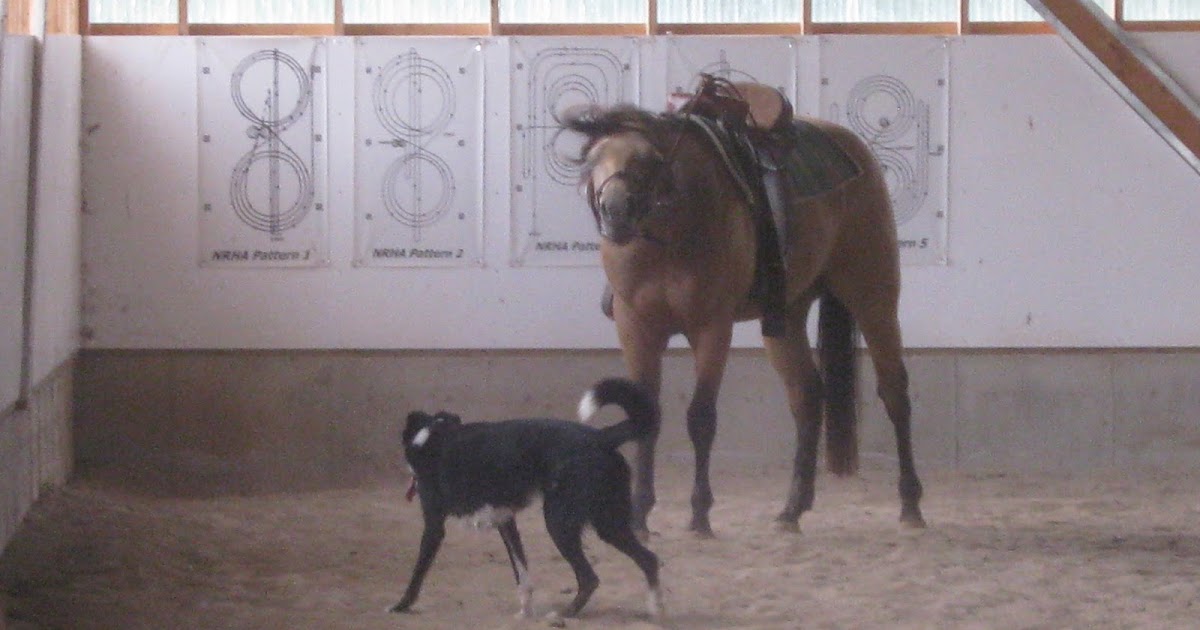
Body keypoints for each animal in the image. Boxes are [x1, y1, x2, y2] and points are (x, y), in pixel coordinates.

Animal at [562, 94, 925, 538]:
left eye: (650, 159)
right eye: (592, 158)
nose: (615, 211)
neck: (671, 233)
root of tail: (857, 153)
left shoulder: (711, 329)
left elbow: (701, 418)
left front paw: (700, 514)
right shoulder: (637, 330)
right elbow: (644, 413)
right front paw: (639, 515)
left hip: (873, 298)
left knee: (894, 392)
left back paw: (910, 504)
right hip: (784, 319)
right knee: (807, 395)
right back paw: (792, 509)